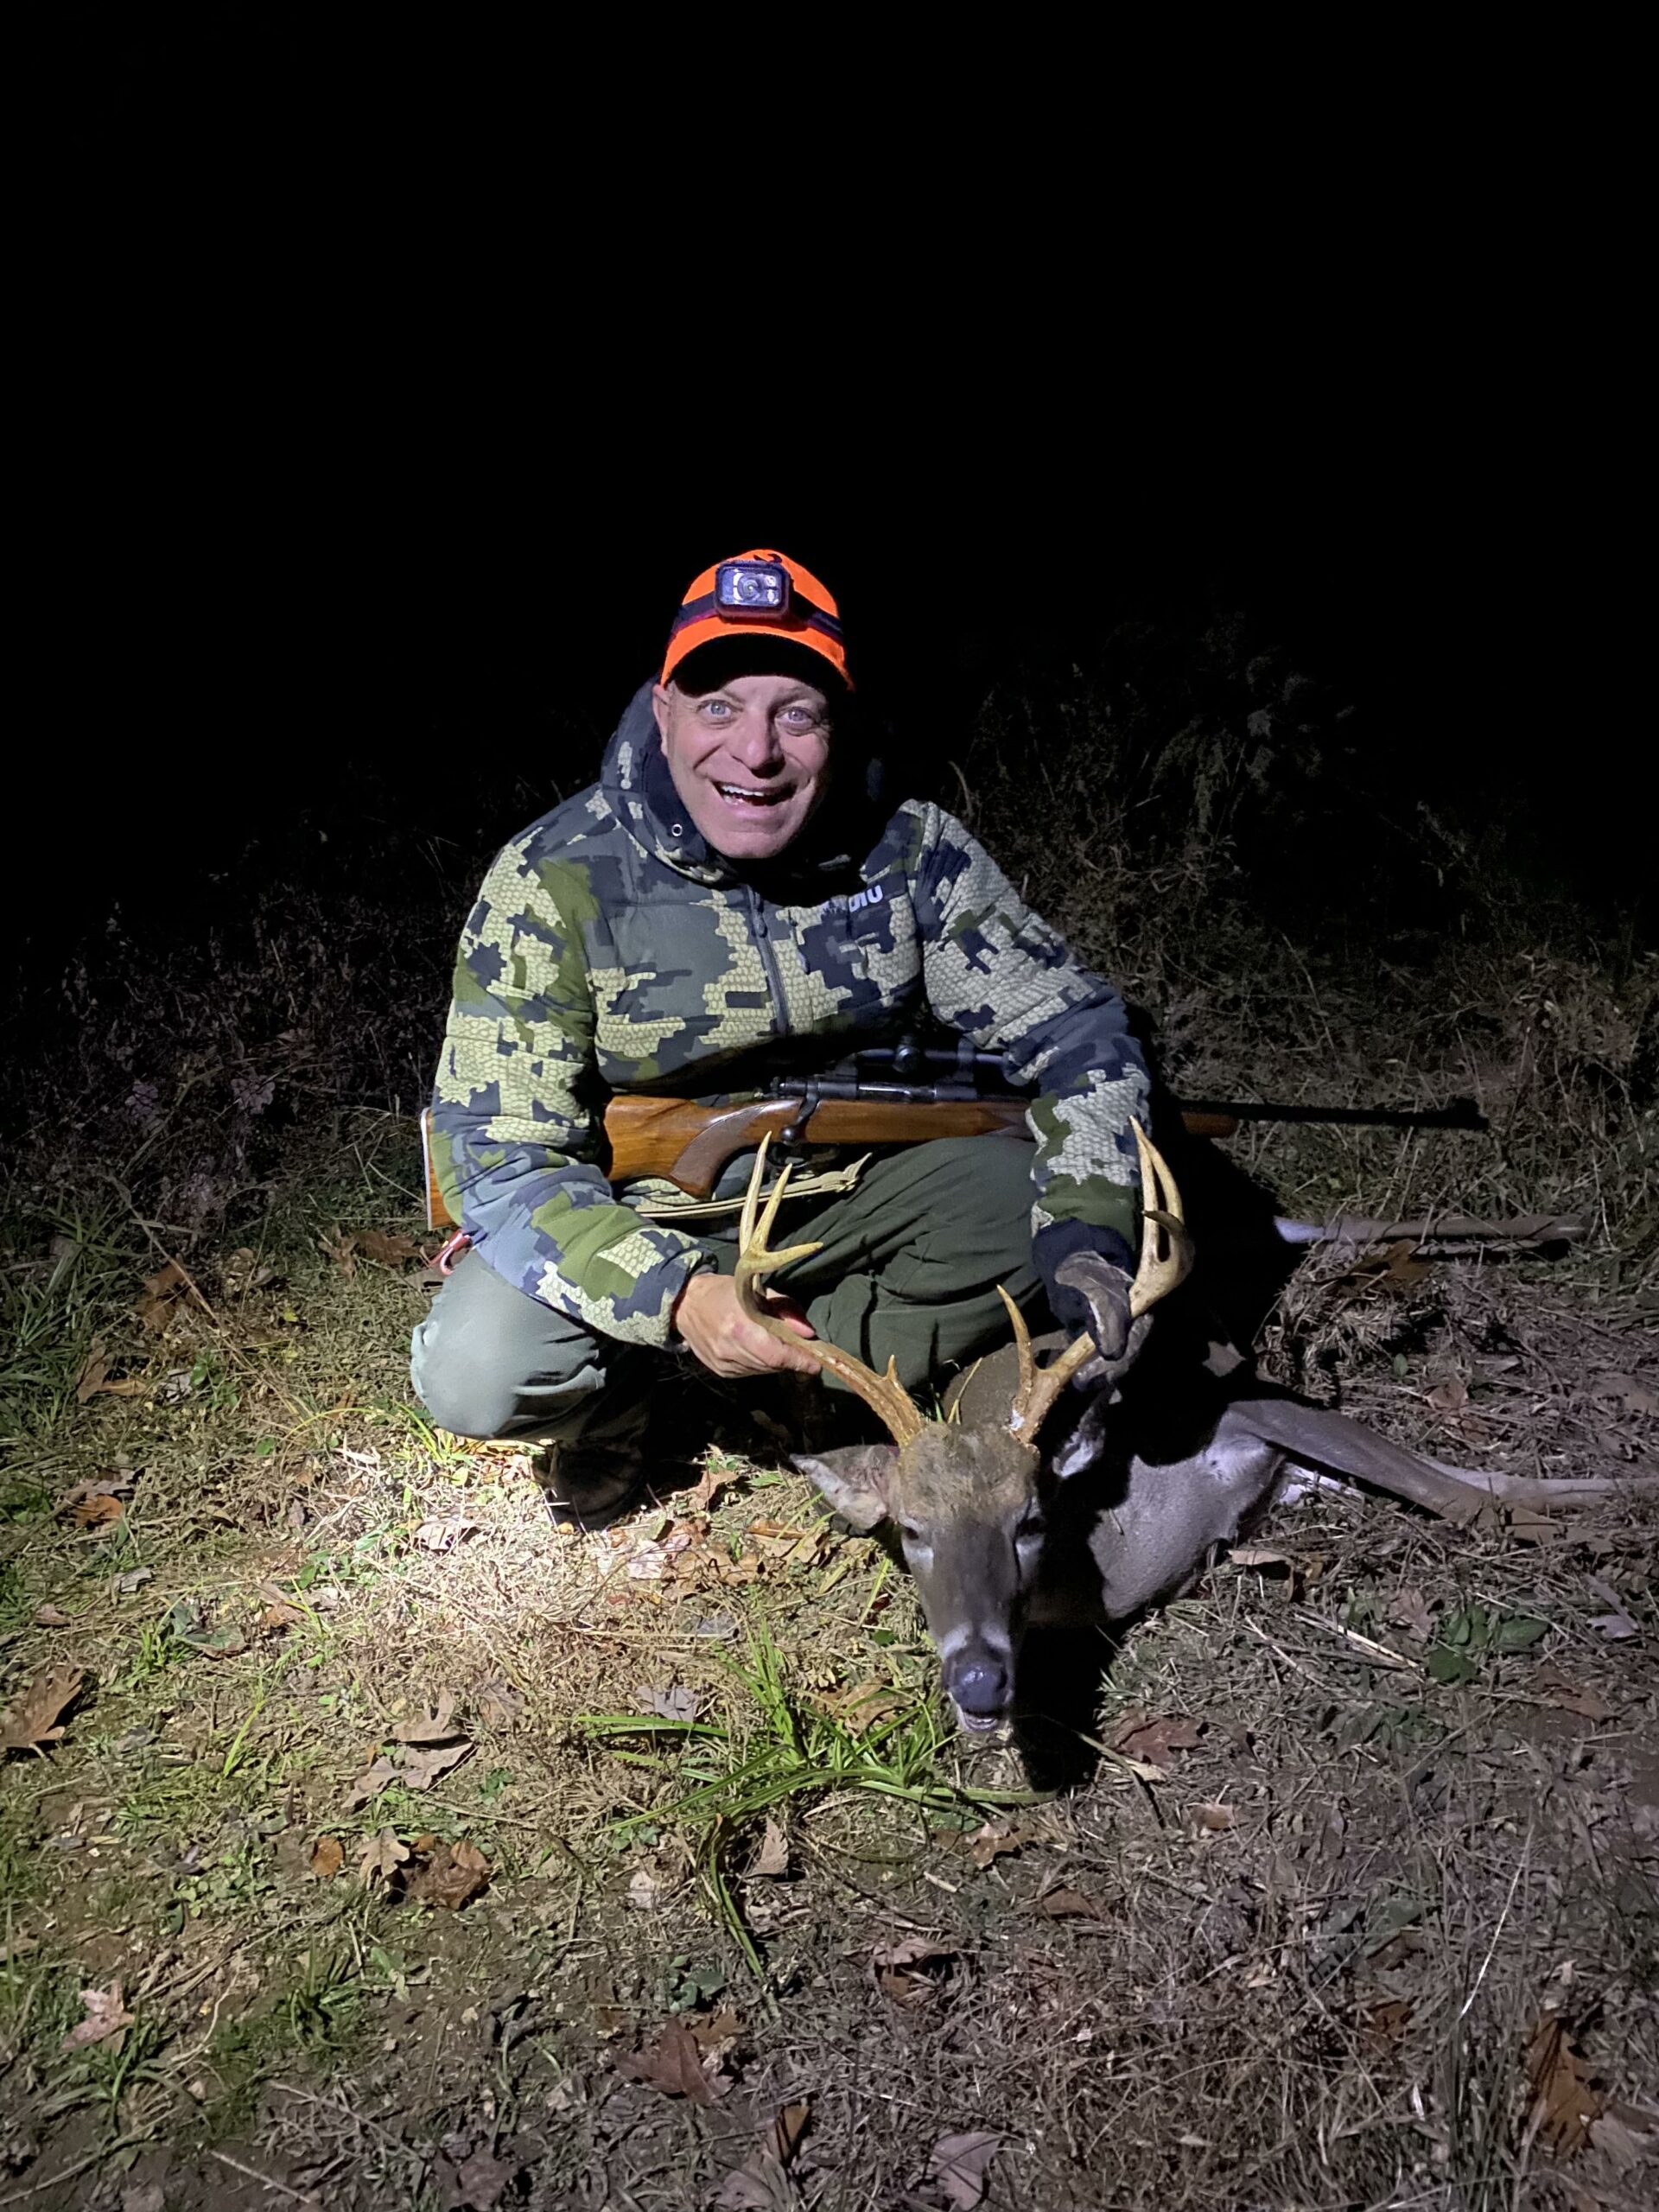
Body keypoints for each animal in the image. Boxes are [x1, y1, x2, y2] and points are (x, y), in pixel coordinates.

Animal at [733, 1130, 1657, 1733]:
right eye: (912, 1529)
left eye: (1028, 1519)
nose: (980, 1683)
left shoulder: (1238, 1399)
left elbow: (1466, 1492)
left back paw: (1564, 1227)